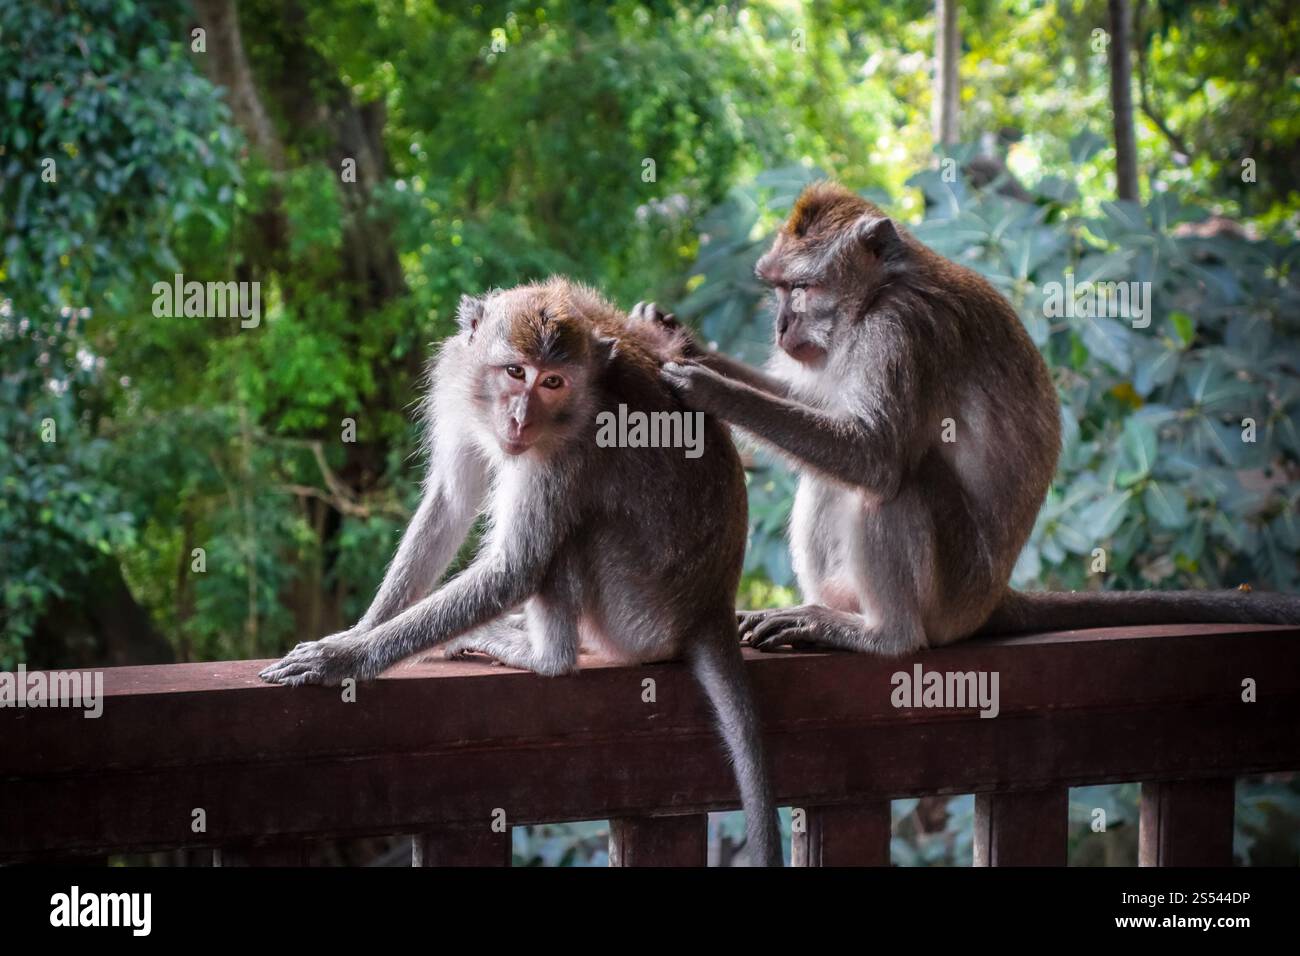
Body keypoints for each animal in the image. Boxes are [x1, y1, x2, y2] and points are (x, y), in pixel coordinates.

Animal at [260, 277, 783, 867]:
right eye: (514, 372)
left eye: (552, 382)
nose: (519, 420)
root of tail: (711, 607)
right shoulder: (457, 384)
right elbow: (450, 502)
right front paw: (362, 629)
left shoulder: (568, 447)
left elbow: (517, 566)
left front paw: (344, 659)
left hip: (637, 613)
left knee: (570, 537)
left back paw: (543, 655)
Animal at [638, 180, 1299, 655]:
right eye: (775, 289)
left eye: (800, 288)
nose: (779, 326)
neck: (877, 294)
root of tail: (992, 598)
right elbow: (829, 416)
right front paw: (678, 340)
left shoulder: (899, 333)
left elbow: (875, 456)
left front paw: (708, 387)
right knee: (830, 477)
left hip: (953, 593)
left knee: (898, 482)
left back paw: (884, 636)